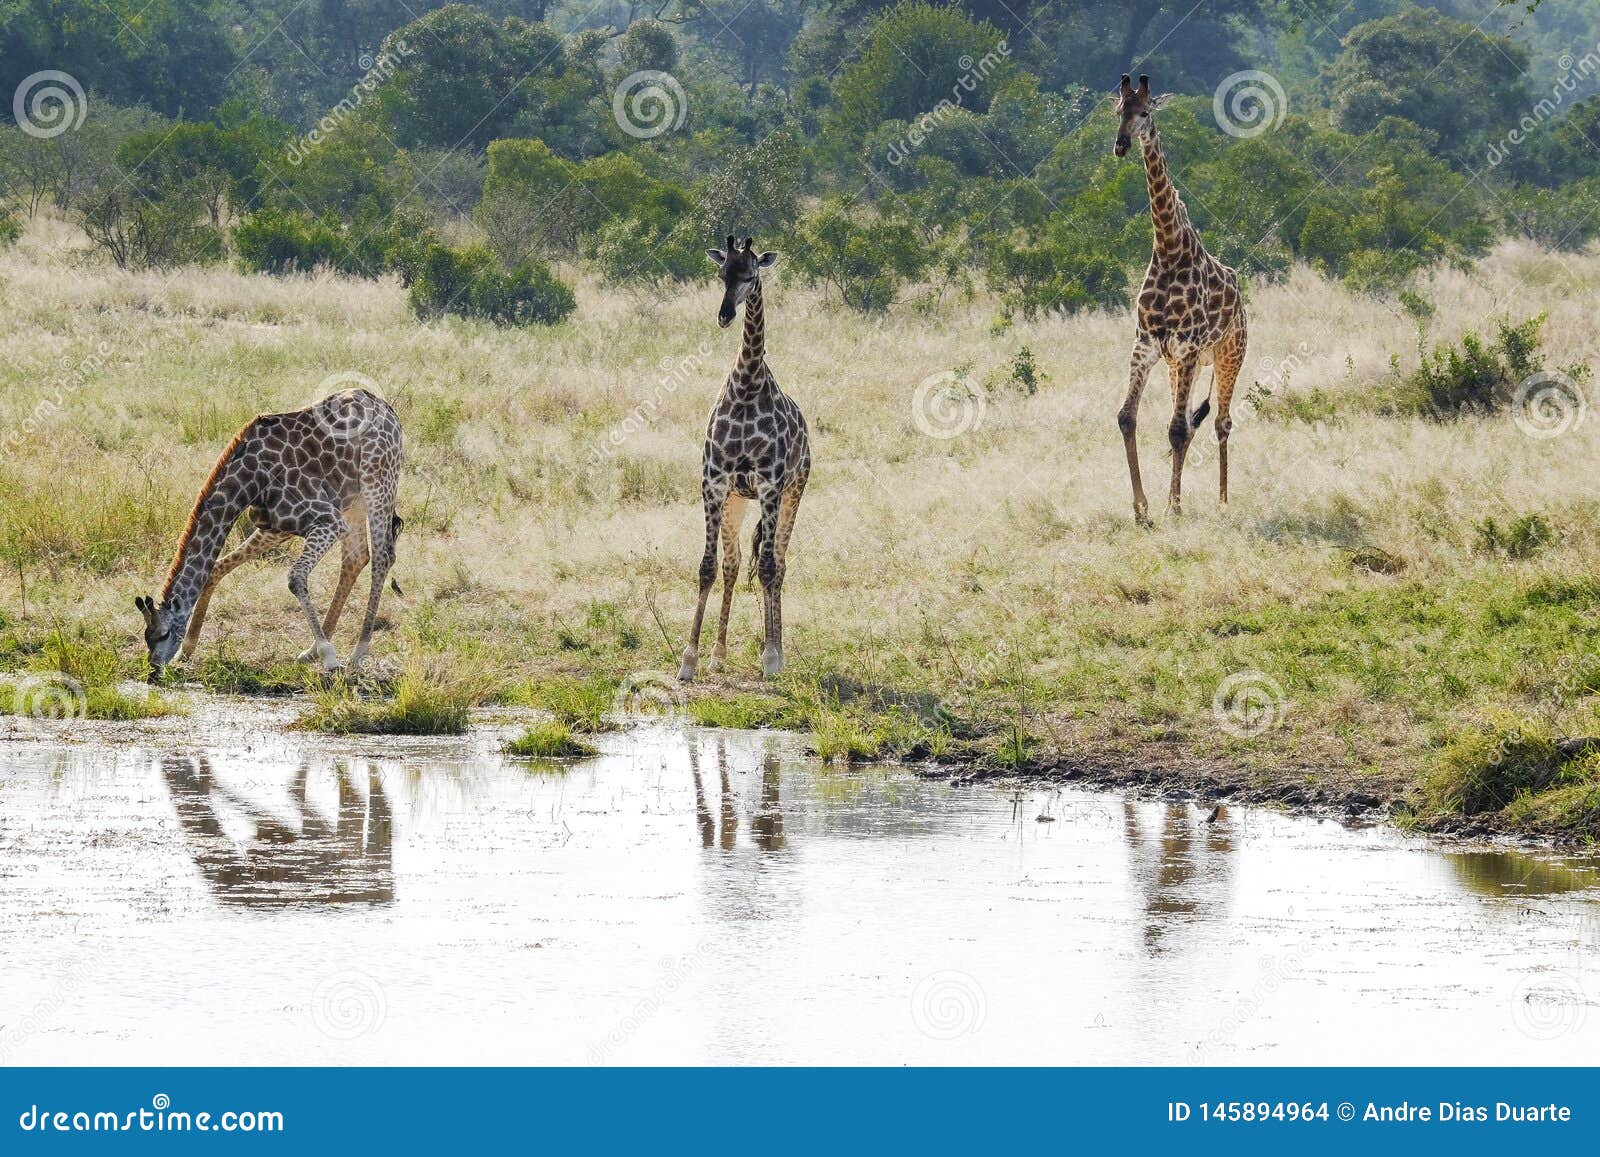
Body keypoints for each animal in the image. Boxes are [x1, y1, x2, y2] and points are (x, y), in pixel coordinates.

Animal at [135, 388, 403, 678]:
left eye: (162, 634)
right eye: (146, 636)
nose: (153, 670)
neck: (250, 480)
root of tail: (386, 408)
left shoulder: (328, 521)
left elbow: (295, 578)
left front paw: (330, 657)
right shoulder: (275, 526)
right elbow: (216, 567)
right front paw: (187, 649)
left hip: (378, 480)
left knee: (382, 557)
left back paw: (358, 653)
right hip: (352, 500)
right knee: (356, 558)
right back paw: (311, 652)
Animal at [678, 235, 811, 683]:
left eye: (751, 275)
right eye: (722, 273)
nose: (724, 315)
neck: (748, 384)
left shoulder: (770, 485)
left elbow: (768, 568)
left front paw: (769, 658)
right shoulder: (713, 482)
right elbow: (708, 566)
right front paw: (689, 660)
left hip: (794, 491)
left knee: (779, 564)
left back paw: (779, 654)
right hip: (737, 499)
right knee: (735, 564)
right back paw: (718, 655)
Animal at [1113, 73, 1248, 524]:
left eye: (1145, 111)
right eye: (1118, 110)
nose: (1121, 144)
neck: (1169, 248)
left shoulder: (1188, 345)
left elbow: (1175, 427)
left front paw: (1171, 507)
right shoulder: (1148, 343)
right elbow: (1128, 418)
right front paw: (1142, 509)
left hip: (1229, 354)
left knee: (1220, 422)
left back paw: (1222, 500)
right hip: (1177, 365)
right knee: (1190, 421)